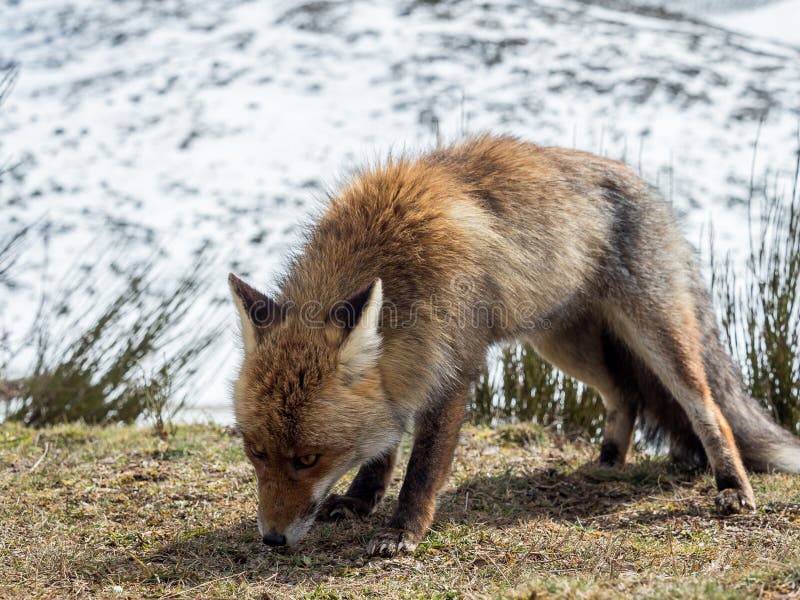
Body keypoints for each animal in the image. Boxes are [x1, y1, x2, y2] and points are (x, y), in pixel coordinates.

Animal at [229, 134, 800, 557]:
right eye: (256, 452)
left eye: (308, 459)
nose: (272, 540)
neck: (390, 256)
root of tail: (647, 185)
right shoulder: (406, 365)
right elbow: (384, 443)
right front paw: (360, 499)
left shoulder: (452, 364)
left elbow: (423, 468)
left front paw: (401, 531)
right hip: (561, 345)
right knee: (625, 395)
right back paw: (607, 462)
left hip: (657, 336)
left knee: (708, 408)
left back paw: (732, 488)